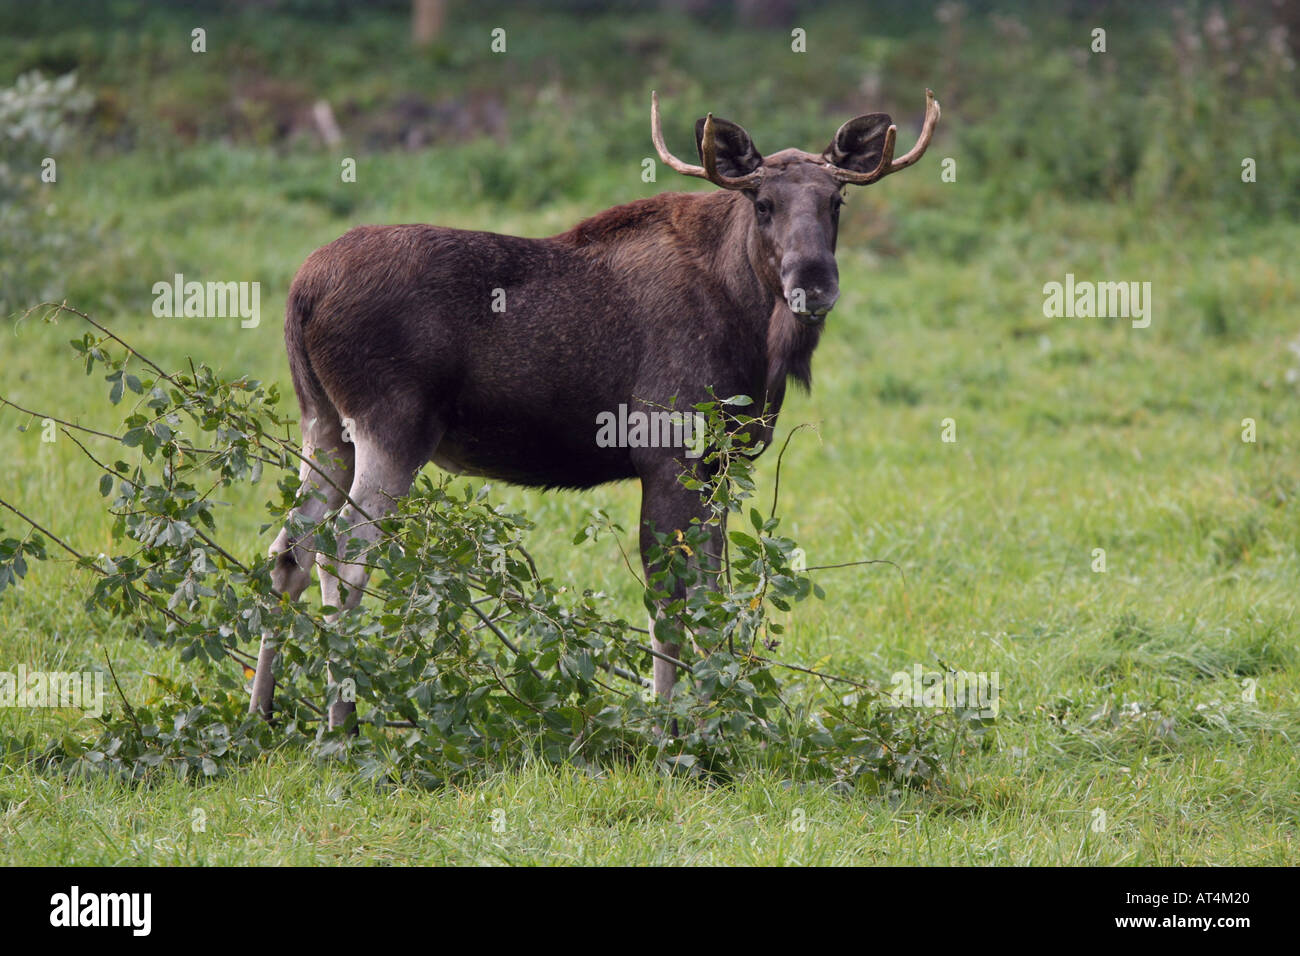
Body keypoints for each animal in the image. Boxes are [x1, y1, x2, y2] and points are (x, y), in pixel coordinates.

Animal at [250, 89, 940, 729]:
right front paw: (672, 726)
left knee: (289, 549)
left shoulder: (718, 463)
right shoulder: (666, 451)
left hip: (325, 424)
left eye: (836, 202)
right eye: (763, 203)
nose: (813, 282)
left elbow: (713, 595)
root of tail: (301, 293)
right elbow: (671, 598)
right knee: (345, 553)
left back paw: (263, 712)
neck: (754, 336)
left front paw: (713, 714)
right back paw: (344, 722)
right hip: (391, 426)